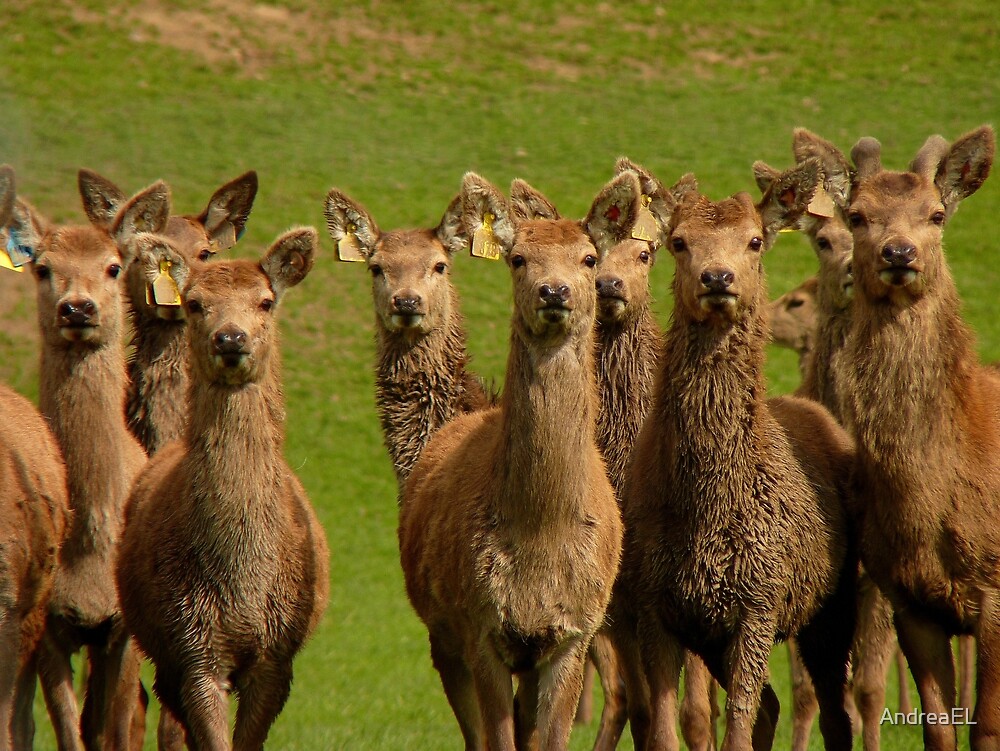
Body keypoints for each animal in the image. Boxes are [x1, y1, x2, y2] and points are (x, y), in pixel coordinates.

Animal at [7, 181, 170, 751]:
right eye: (42, 268)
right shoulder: (50, 625)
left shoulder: (121, 627)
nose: (77, 308)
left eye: (114, 266)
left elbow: (113, 732)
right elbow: (69, 733)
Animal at [115, 227, 329, 750]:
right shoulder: (191, 647)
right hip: (163, 653)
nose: (230, 337)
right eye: (195, 303)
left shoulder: (276, 655)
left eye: (266, 301)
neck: (242, 587)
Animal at [398, 170, 636, 751]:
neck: (539, 537)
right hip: (442, 633)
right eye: (518, 259)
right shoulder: (481, 624)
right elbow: (496, 739)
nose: (554, 291)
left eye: (589, 258)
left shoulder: (573, 632)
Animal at [610, 160, 858, 751]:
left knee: (836, 714)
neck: (707, 510)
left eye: (754, 240)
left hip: (835, 605)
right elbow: (665, 732)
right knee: (772, 705)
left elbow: (737, 731)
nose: (717, 278)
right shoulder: (656, 604)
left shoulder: (760, 604)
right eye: (677, 242)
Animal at [799, 124, 997, 751]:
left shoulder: (996, 588)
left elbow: (986, 726)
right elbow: (939, 728)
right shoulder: (908, 596)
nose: (899, 253)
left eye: (936, 214)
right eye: (859, 215)